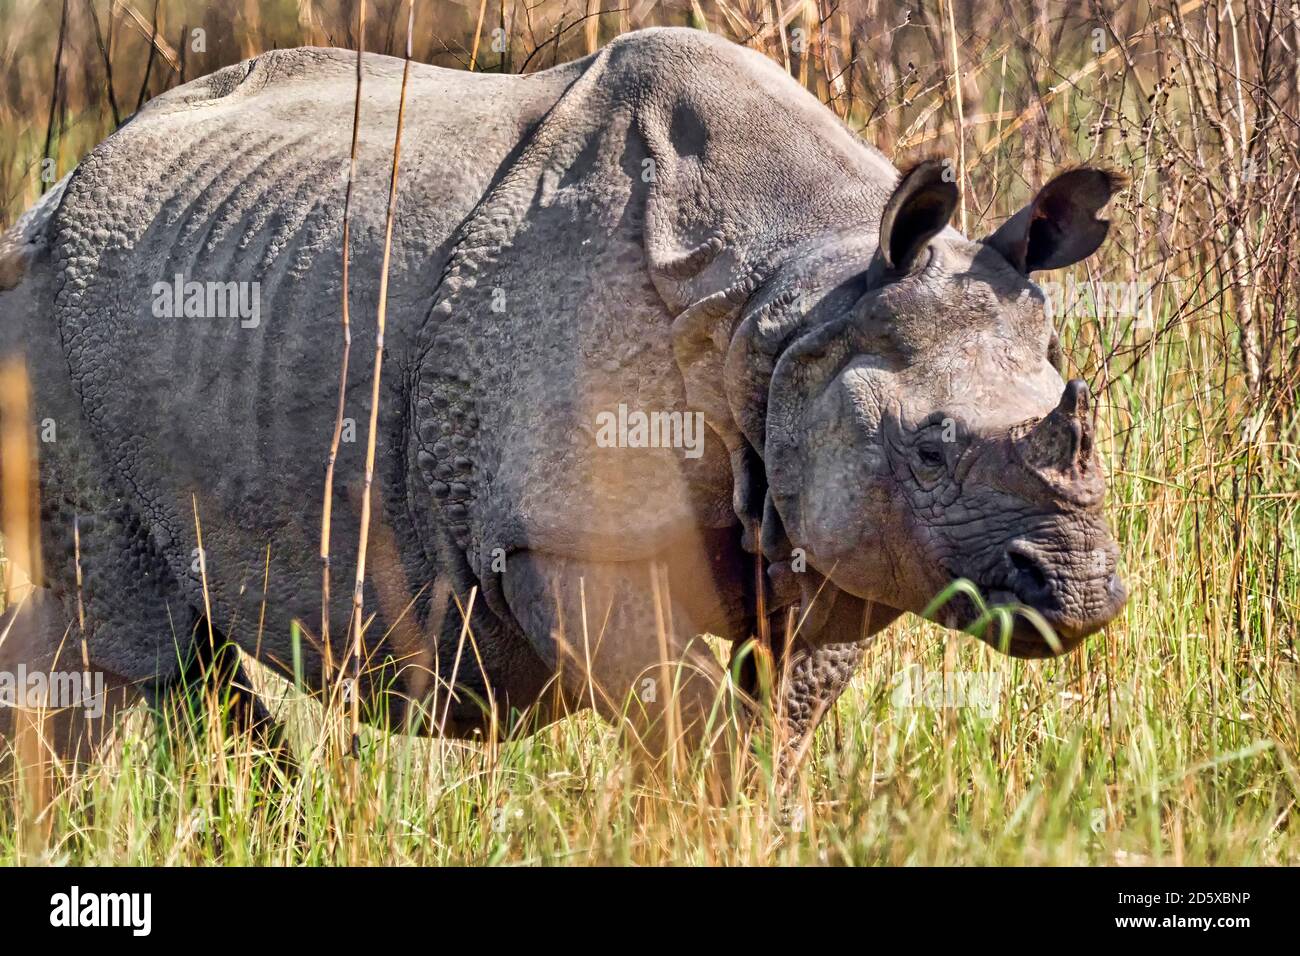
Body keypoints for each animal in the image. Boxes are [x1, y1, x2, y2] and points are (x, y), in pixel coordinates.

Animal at [0, 27, 1126, 766]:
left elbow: (782, 719)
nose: (1081, 589)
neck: (798, 301)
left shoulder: (828, 522)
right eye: (929, 453)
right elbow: (688, 724)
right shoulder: (567, 536)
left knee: (132, 645)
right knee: (134, 638)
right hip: (57, 300)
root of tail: (57, 189)